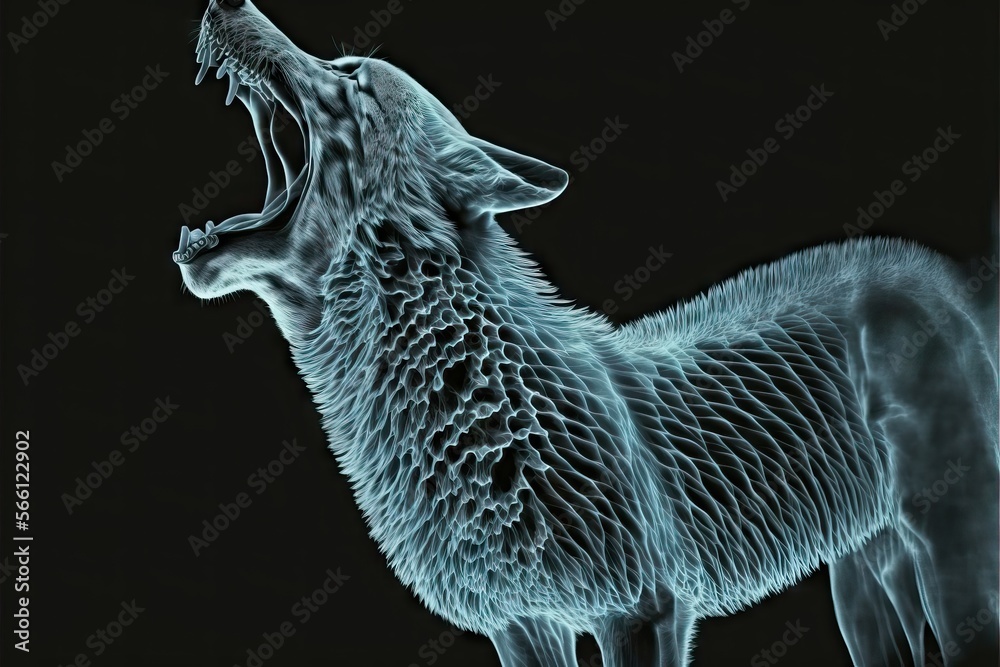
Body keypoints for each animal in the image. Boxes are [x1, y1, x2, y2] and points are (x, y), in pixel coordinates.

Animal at [175, 1, 999, 665]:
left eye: (350, 74)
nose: (224, 1)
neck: (481, 403)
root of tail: (944, 273)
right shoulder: (521, 624)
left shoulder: (643, 612)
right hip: (861, 587)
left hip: (957, 569)